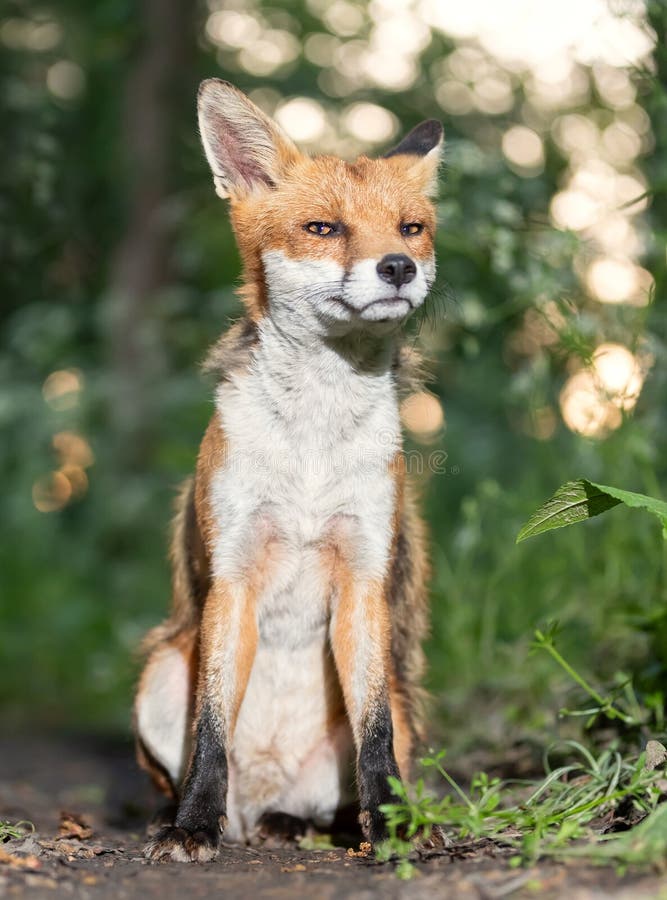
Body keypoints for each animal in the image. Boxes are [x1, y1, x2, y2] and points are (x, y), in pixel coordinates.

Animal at [134, 79, 444, 862]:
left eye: (411, 229)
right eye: (322, 228)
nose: (398, 268)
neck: (312, 448)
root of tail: (257, 808)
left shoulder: (363, 578)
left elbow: (374, 738)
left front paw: (387, 826)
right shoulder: (233, 576)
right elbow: (210, 729)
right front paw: (192, 826)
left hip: (398, 704)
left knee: (335, 790)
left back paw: (313, 826)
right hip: (160, 671)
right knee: (191, 765)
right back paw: (184, 816)